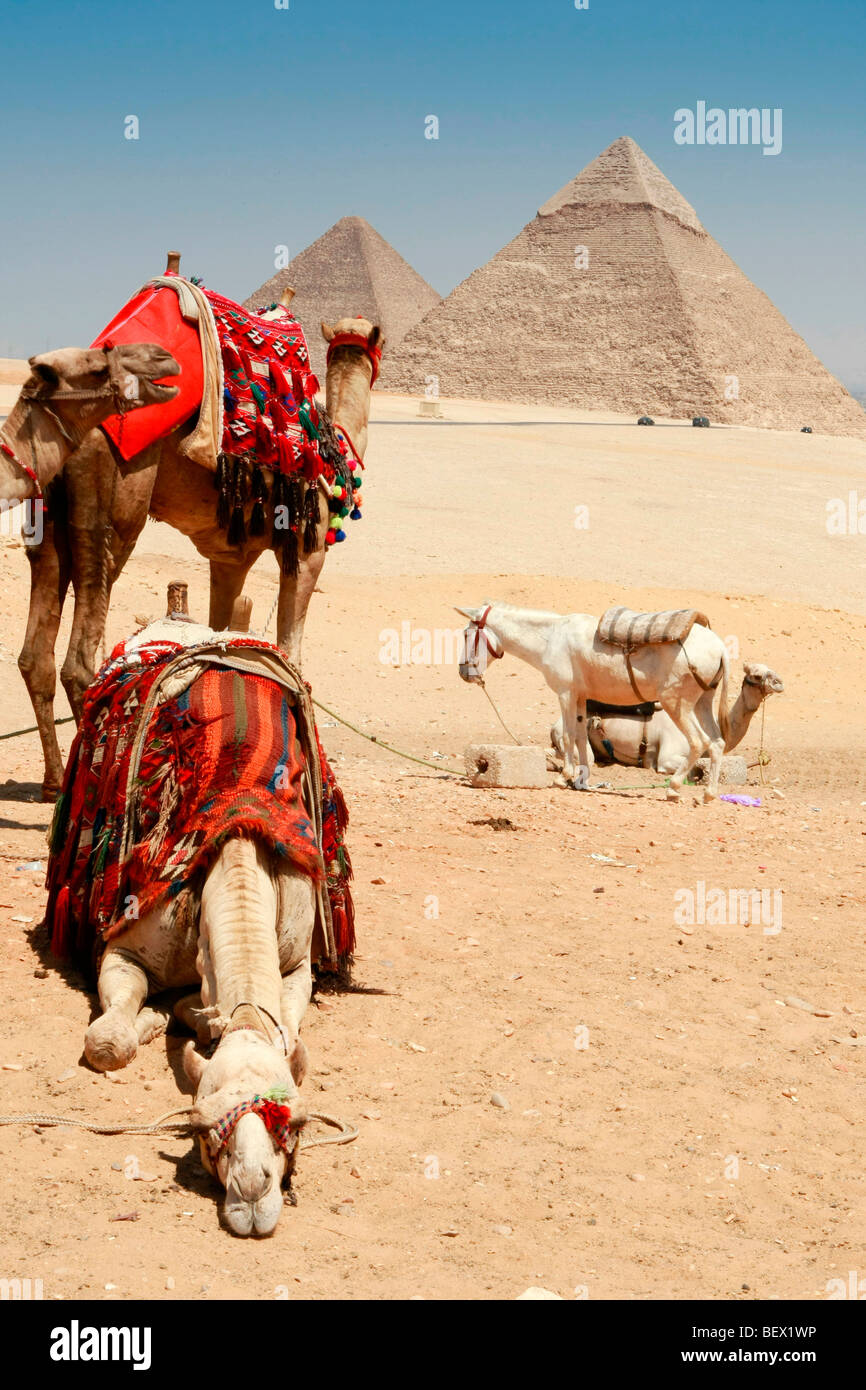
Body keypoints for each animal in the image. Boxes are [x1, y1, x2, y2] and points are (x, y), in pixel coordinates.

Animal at [2, 317, 381, 799]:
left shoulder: (230, 559)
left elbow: (222, 639)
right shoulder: (308, 551)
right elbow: (293, 654)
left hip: (47, 516)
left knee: (36, 654)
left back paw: (53, 781)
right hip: (117, 511)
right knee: (81, 663)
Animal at [457, 601, 731, 801]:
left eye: (466, 634)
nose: (463, 673)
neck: (550, 637)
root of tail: (720, 647)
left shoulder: (565, 693)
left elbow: (569, 736)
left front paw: (563, 778)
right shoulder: (580, 696)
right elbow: (580, 737)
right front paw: (582, 780)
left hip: (676, 703)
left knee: (699, 742)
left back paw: (673, 789)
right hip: (703, 702)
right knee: (717, 743)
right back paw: (708, 795)